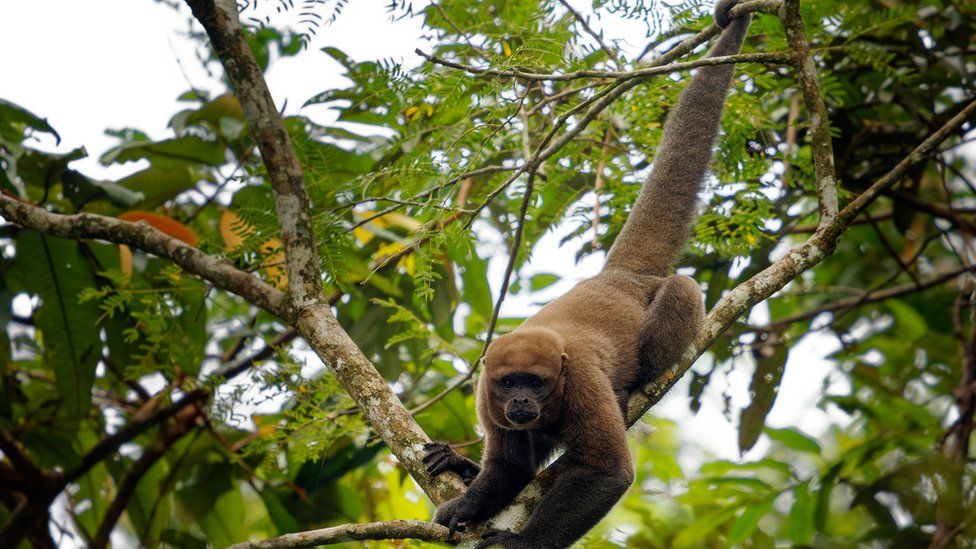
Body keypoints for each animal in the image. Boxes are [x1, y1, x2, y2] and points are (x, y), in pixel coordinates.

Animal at [423, 2, 752, 547]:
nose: (521, 402)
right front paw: (466, 501)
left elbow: (609, 471)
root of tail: (617, 276)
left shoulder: (580, 382)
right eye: (509, 383)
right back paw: (461, 466)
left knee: (682, 289)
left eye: (535, 383)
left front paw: (519, 542)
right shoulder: (485, 397)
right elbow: (511, 470)